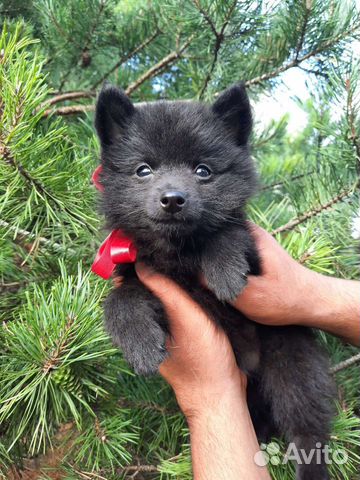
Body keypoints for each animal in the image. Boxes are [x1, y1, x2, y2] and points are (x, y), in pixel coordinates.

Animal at [93, 83, 334, 480]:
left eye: (203, 170)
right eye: (143, 170)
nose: (173, 199)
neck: (178, 252)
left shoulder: (261, 258)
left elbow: (227, 233)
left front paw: (223, 270)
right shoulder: (137, 273)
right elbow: (119, 300)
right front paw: (140, 344)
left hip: (290, 361)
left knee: (307, 430)